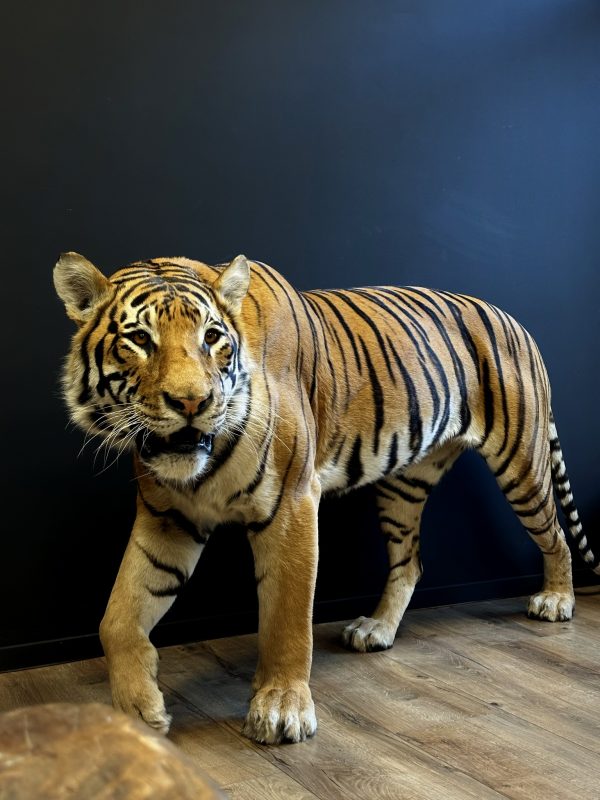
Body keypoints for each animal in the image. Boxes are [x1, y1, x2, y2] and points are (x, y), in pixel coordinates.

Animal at [54, 251, 598, 745]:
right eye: (139, 340)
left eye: (211, 338)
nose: (193, 403)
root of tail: (516, 321)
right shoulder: (166, 518)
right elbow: (117, 617)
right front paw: (137, 713)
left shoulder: (291, 502)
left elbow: (287, 618)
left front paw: (280, 709)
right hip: (404, 487)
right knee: (410, 563)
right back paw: (377, 630)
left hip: (520, 462)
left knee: (555, 536)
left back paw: (555, 600)